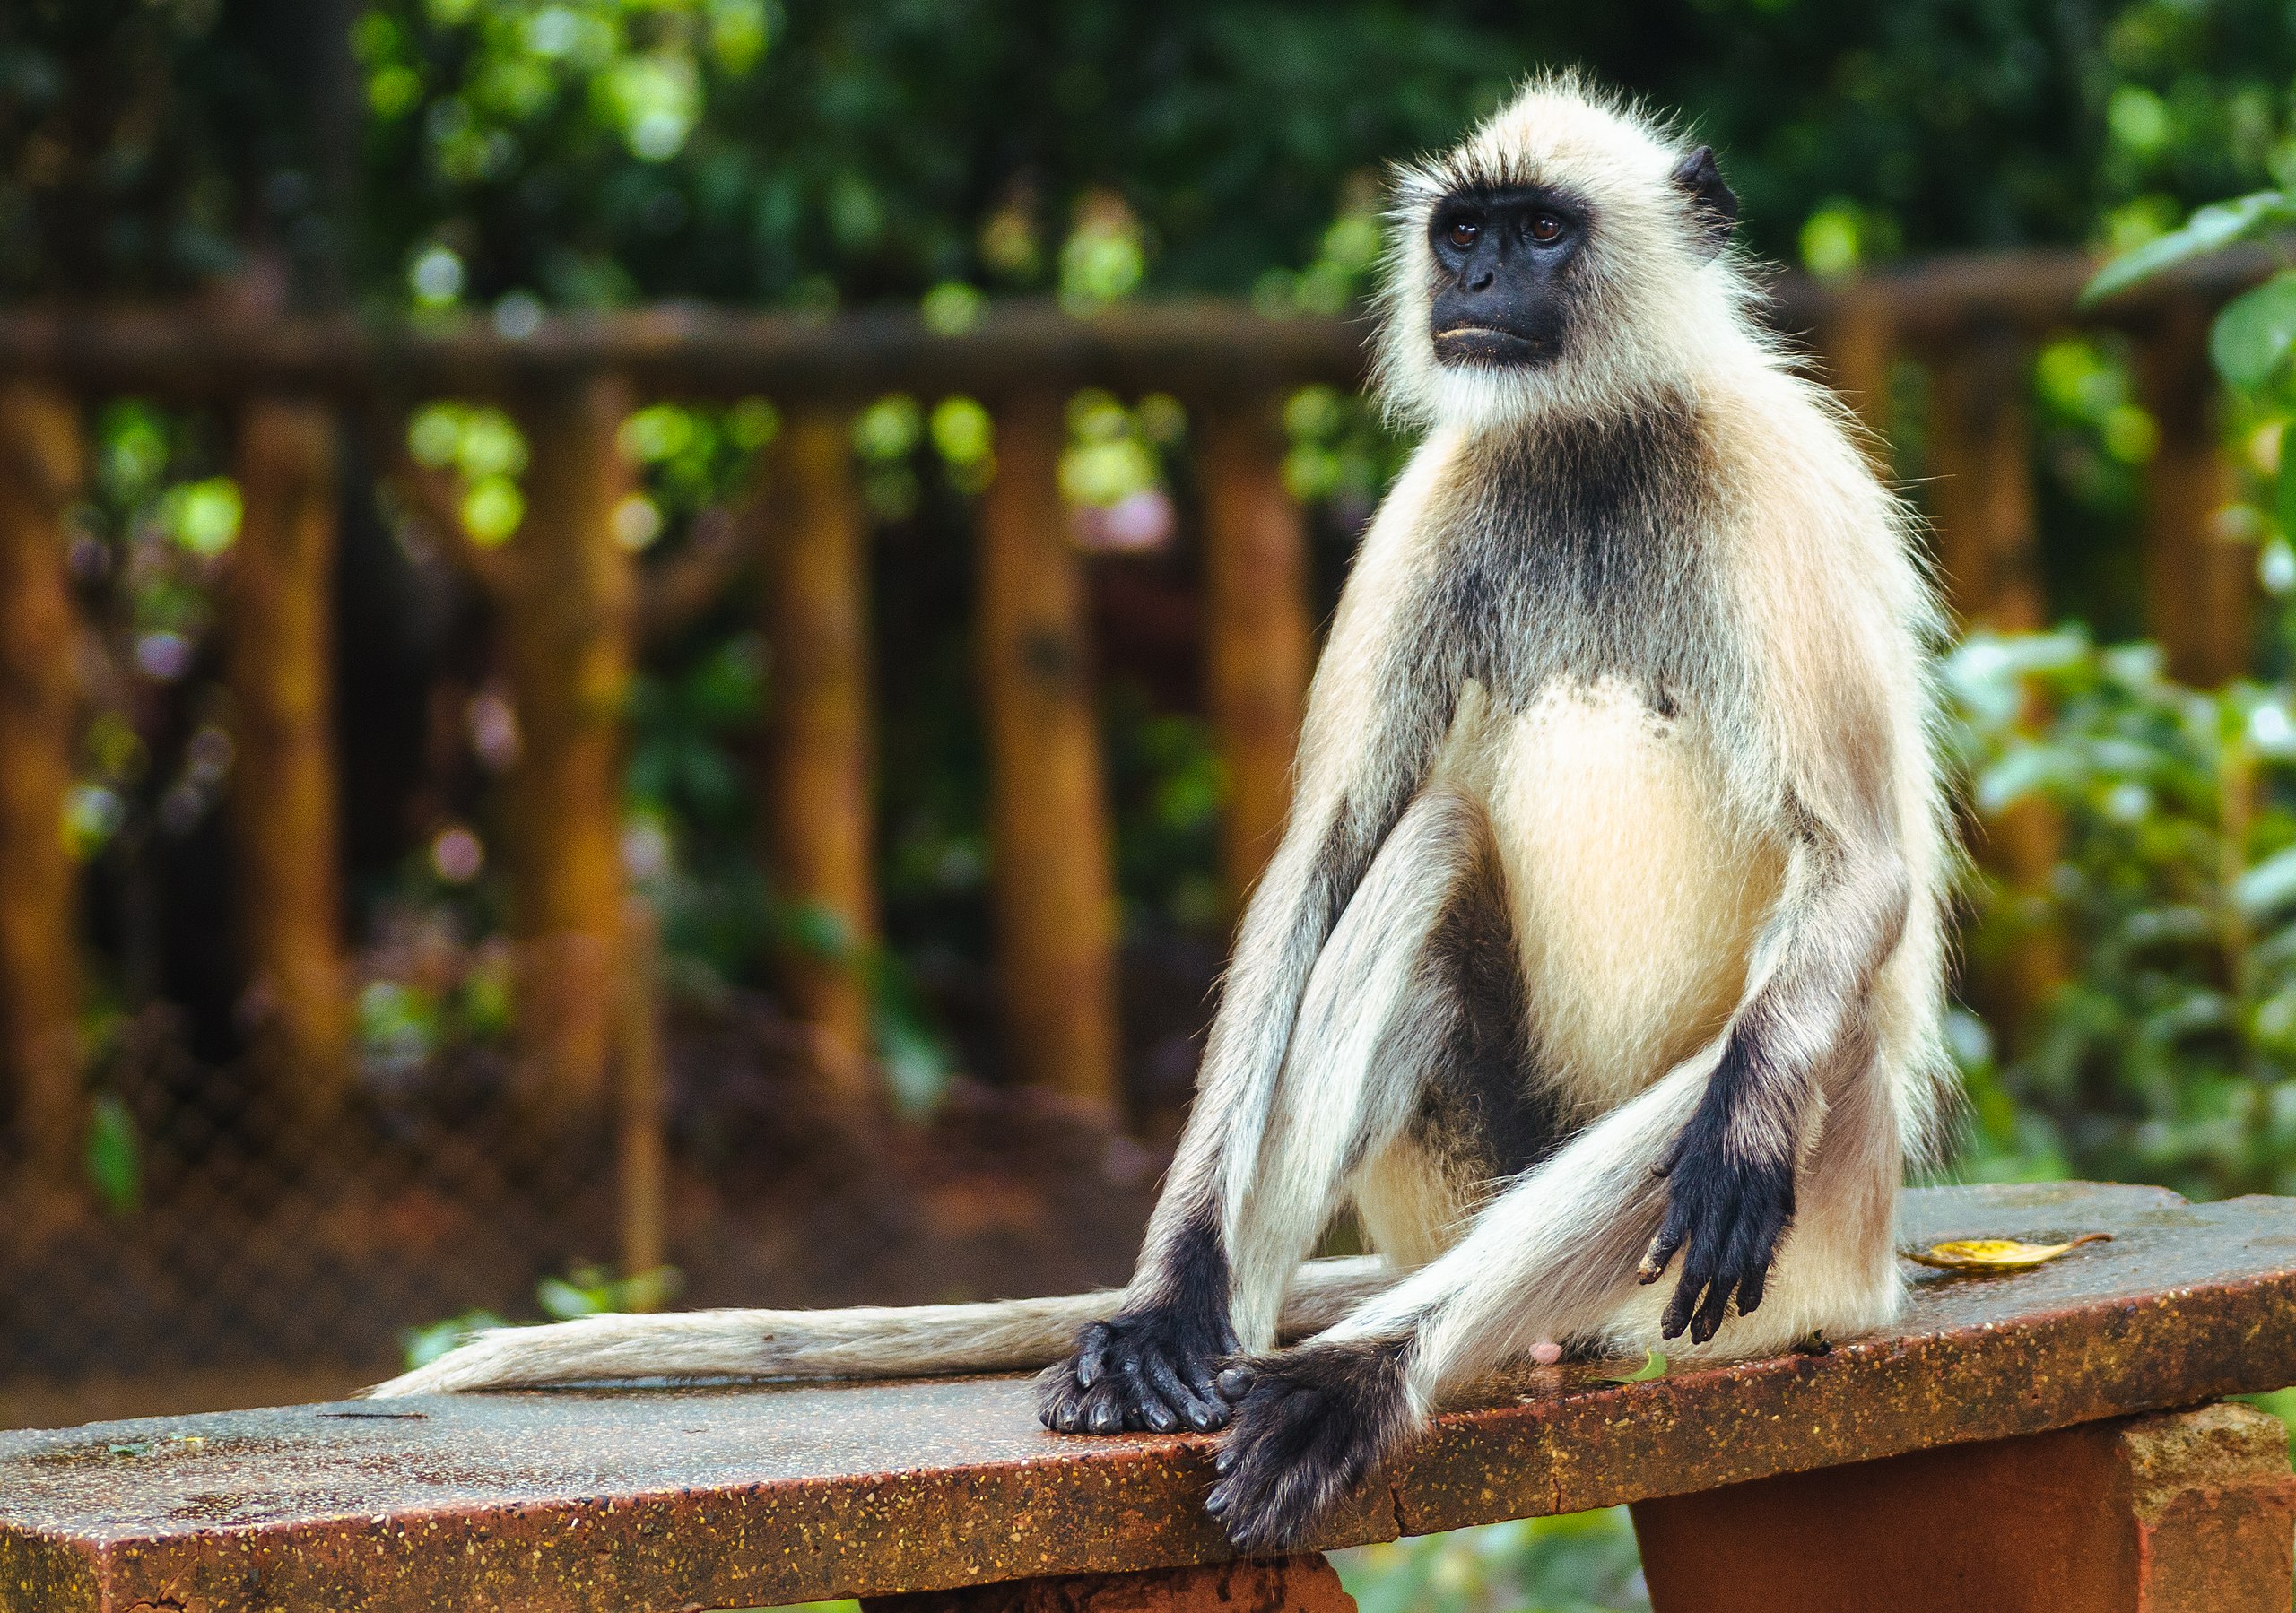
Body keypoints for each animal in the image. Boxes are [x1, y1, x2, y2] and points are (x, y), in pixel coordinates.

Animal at [373, 75, 1954, 1559]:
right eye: (1465, 233)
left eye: (1545, 230)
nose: (1482, 284)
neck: (1590, 440)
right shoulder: (1436, 505)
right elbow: (1320, 861)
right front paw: (1166, 1293)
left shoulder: (1768, 486)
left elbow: (1860, 867)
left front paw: (1733, 1124)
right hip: (1455, 1181)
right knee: (1424, 851)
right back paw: (1205, 1339)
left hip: (1809, 1239)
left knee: (1793, 1055)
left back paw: (1359, 1377)